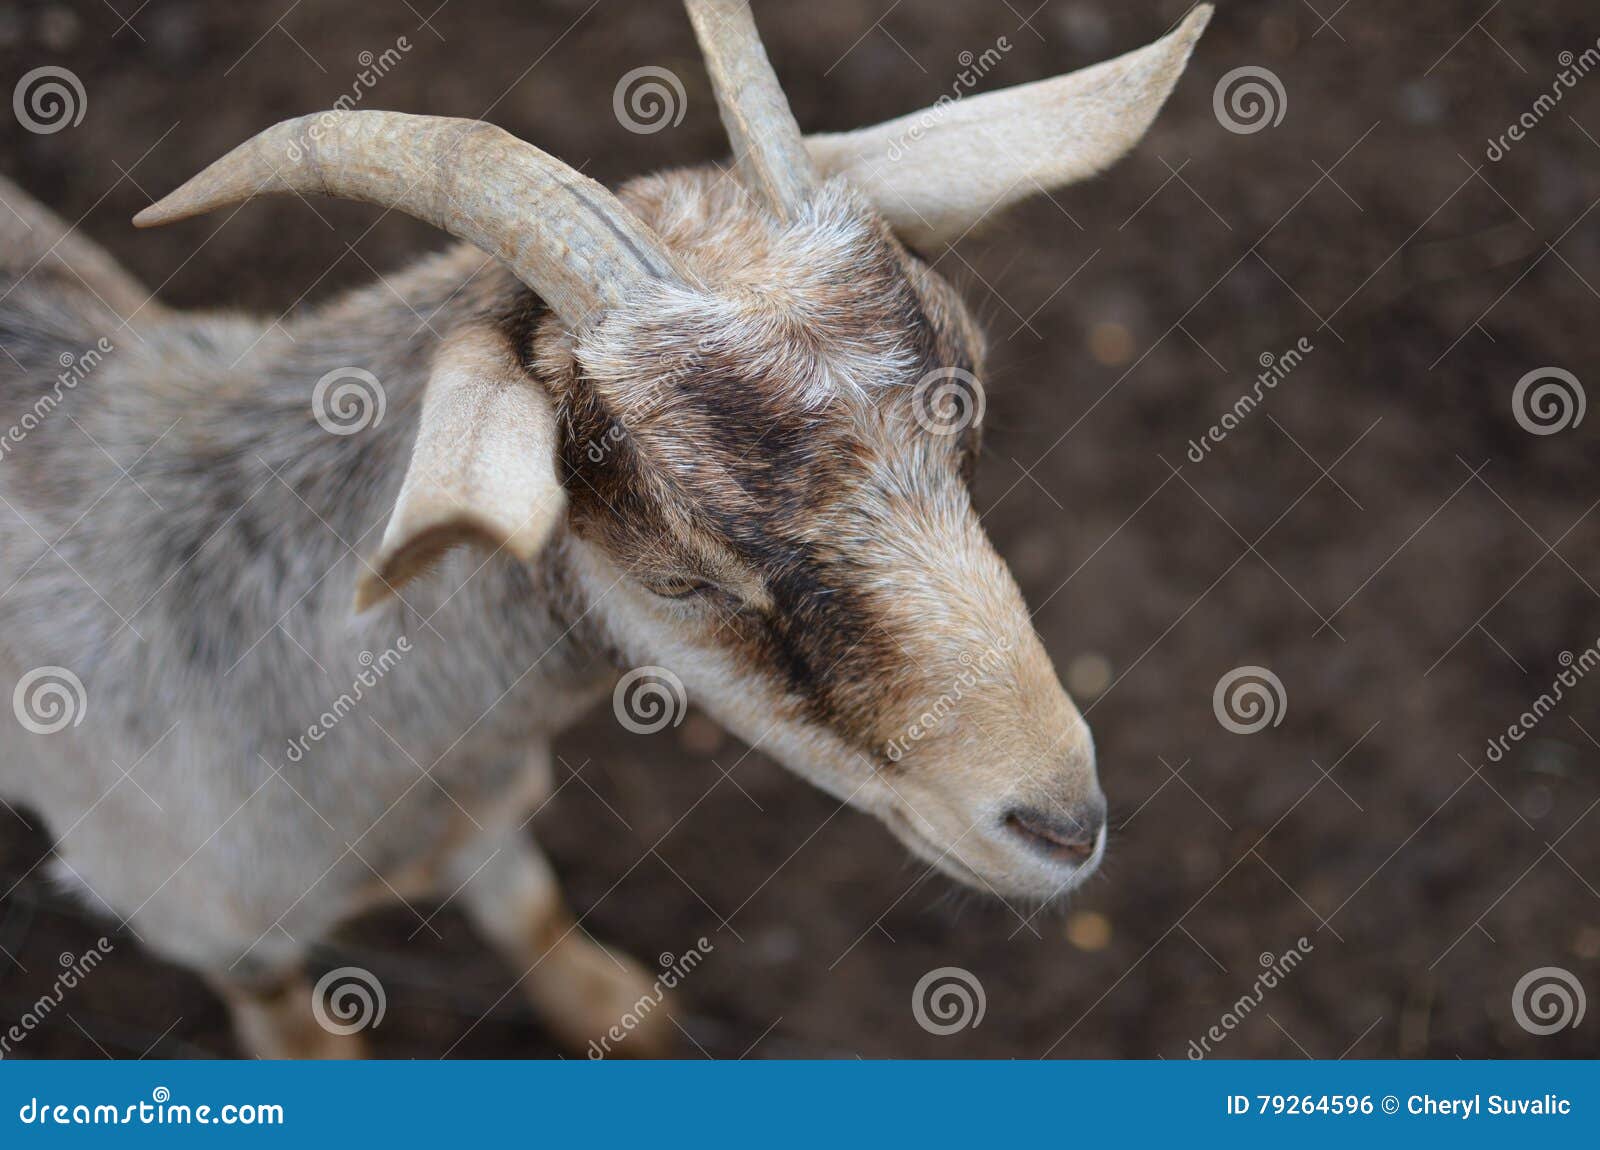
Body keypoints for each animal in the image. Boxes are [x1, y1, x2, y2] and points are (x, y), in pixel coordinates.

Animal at [0, 1, 1209, 1057]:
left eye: (969, 433)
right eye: (674, 575)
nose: (1063, 824)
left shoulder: (487, 810)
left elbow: (527, 904)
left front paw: (612, 1010)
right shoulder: (213, 936)